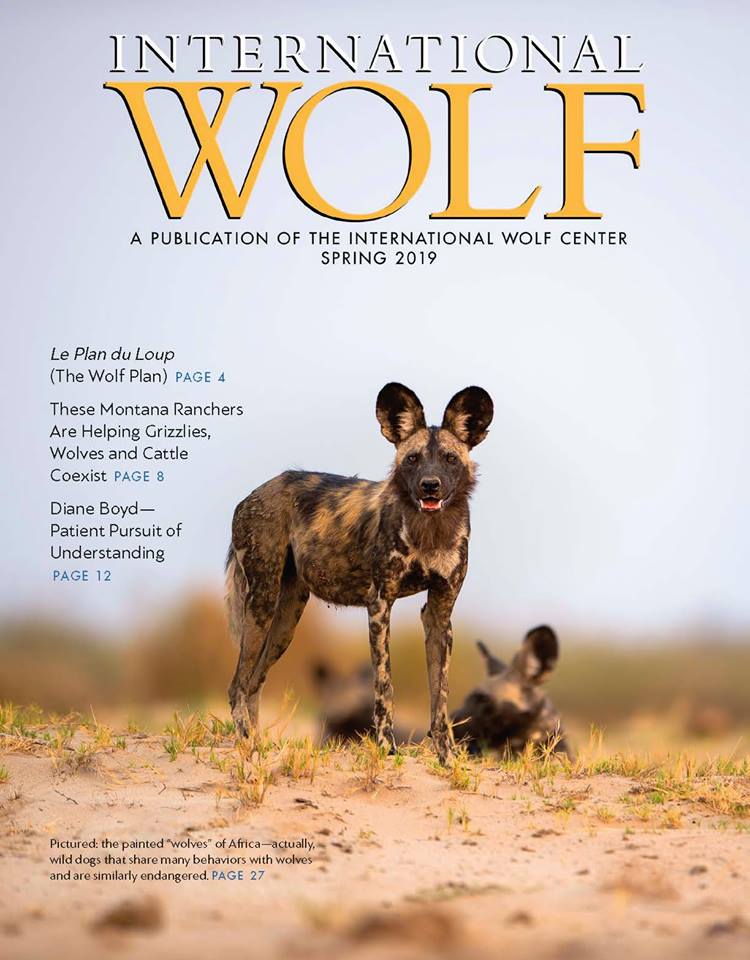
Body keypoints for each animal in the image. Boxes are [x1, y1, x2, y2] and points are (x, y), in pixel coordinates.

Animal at [225, 382, 493, 763]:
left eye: (449, 459)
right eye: (412, 459)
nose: (430, 485)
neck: (430, 531)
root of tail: (256, 491)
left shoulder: (439, 614)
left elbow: (439, 696)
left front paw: (447, 756)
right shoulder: (379, 605)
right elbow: (384, 685)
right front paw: (386, 748)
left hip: (285, 621)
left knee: (253, 683)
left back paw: (259, 745)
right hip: (261, 602)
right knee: (238, 685)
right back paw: (248, 747)